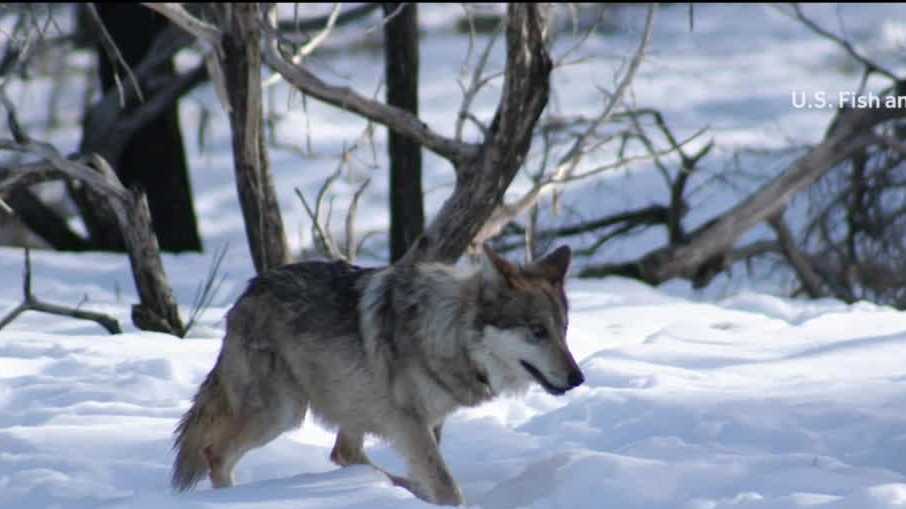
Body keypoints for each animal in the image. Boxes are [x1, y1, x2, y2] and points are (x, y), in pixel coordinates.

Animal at [171, 245, 584, 506]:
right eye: (537, 331)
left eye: (564, 330)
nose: (578, 378)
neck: (447, 333)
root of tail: (246, 293)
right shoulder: (409, 423)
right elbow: (447, 487)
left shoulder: (429, 423)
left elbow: (433, 475)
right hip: (282, 413)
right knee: (215, 452)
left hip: (339, 406)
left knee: (344, 453)